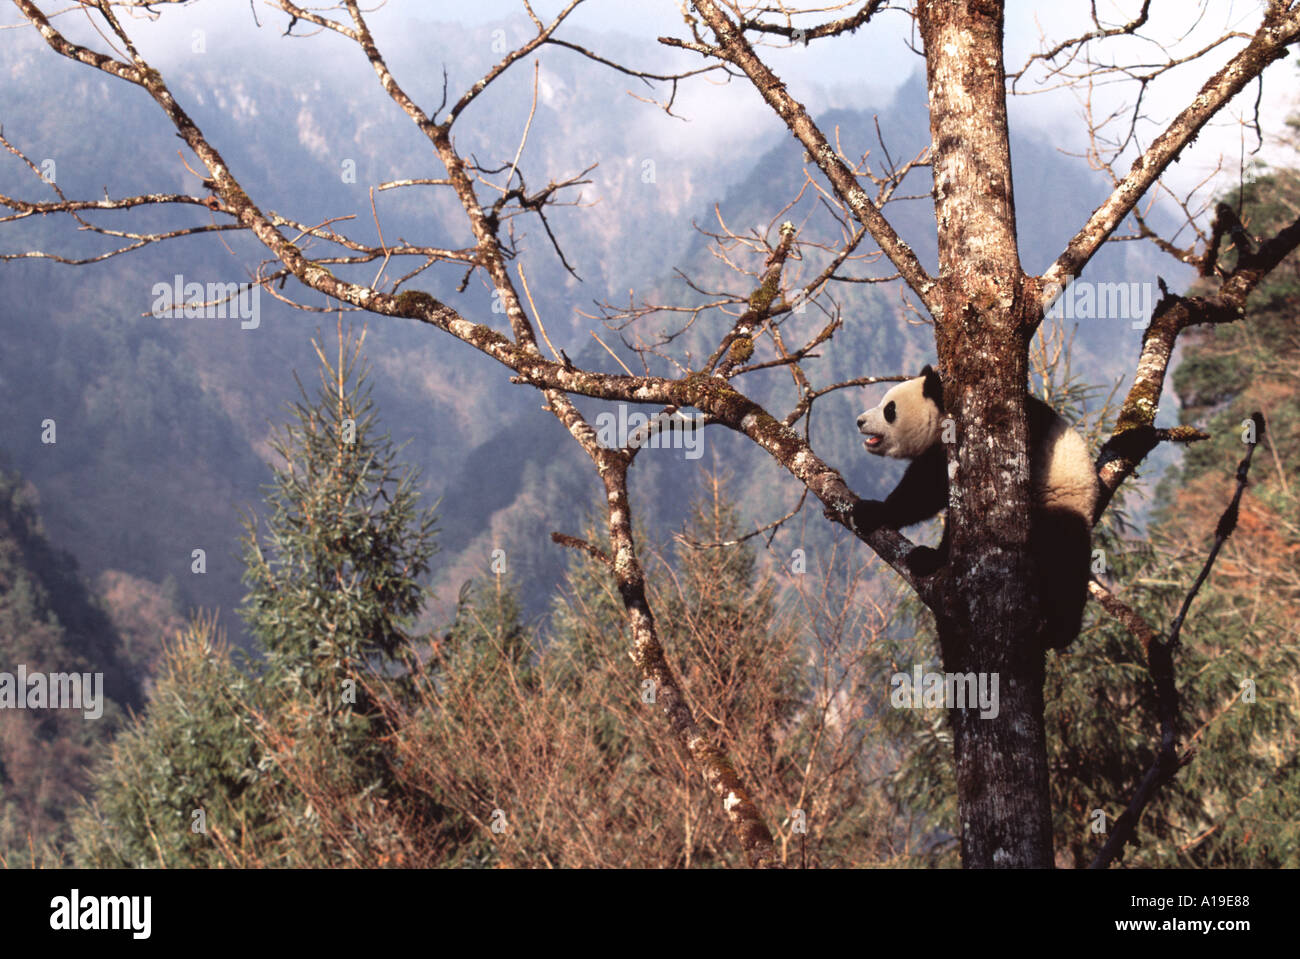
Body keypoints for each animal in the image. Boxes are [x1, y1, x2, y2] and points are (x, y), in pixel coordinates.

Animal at [852, 365, 1099, 650]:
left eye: (889, 409)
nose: (860, 421)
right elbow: (931, 492)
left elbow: (926, 492)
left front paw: (874, 512)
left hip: (1061, 502)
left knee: (1063, 563)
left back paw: (1060, 632)